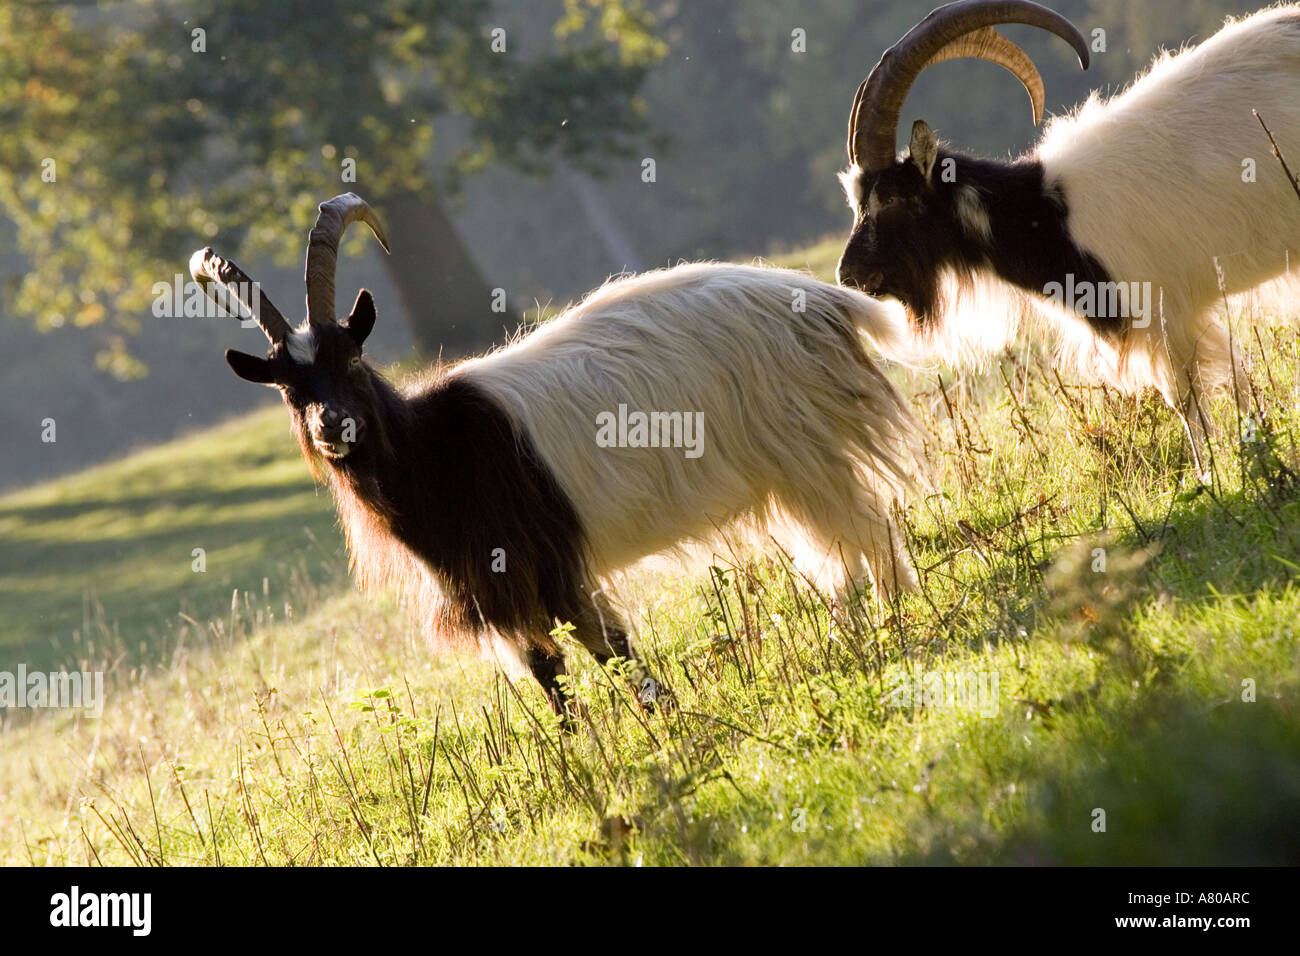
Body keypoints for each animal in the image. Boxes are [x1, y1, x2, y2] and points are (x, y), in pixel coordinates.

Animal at [190, 193, 923, 722]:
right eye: (289, 387)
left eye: (349, 358)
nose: (333, 426)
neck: (438, 451)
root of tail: (824, 302)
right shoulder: (501, 597)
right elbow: (551, 680)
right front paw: (583, 758)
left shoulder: (548, 568)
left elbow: (613, 652)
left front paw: (669, 726)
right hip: (792, 471)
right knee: (841, 552)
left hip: (810, 450)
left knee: (868, 534)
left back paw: (894, 628)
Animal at [836, 0, 1300, 463]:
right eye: (856, 201)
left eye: (891, 197)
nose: (848, 274)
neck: (1048, 213)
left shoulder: (1161, 317)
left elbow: (1188, 403)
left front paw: (1218, 471)